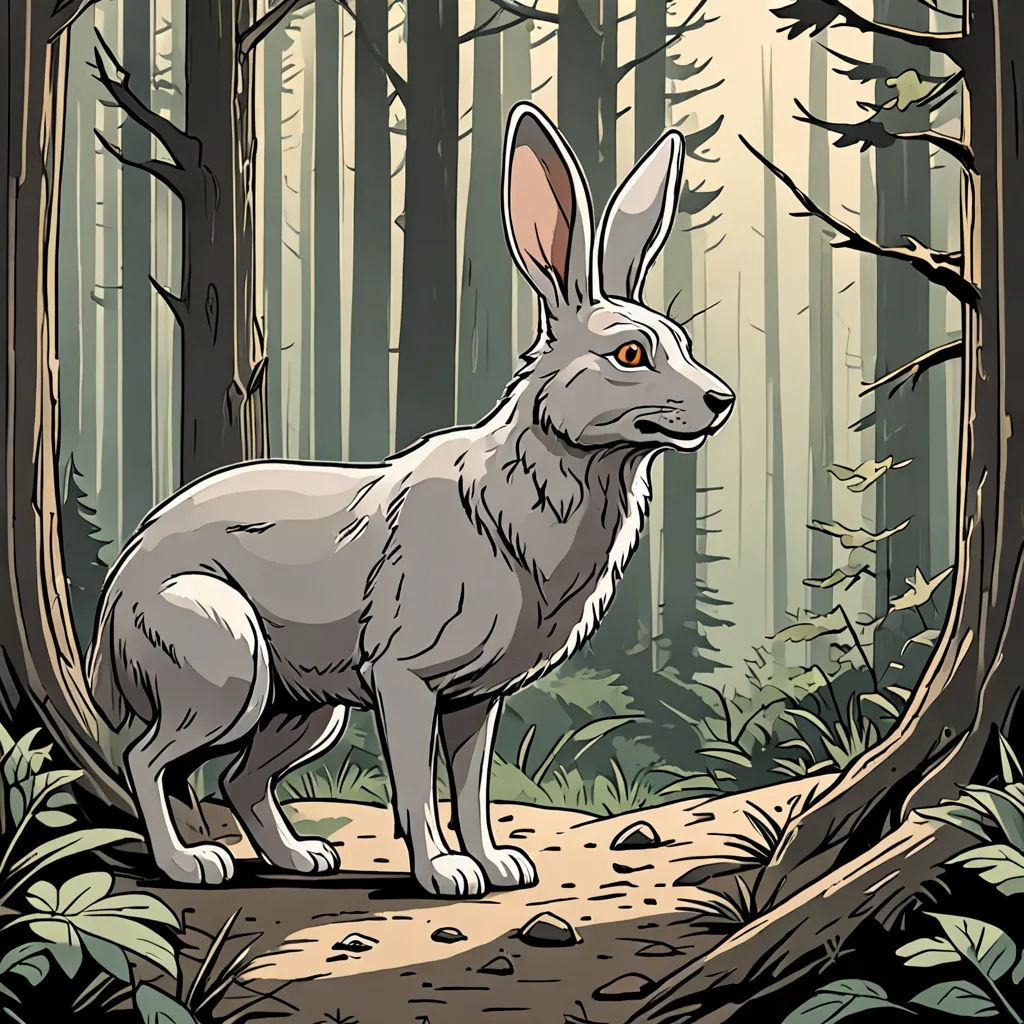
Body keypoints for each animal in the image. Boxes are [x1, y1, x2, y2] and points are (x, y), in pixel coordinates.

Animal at [86, 101, 734, 897]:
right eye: (632, 355)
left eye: (681, 343)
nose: (722, 400)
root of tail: (114, 601)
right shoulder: (404, 679)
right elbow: (418, 788)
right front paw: (446, 875)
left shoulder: (476, 699)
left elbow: (472, 787)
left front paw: (500, 866)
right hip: (227, 661)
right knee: (146, 758)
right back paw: (190, 865)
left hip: (308, 708)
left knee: (241, 779)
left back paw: (301, 859)